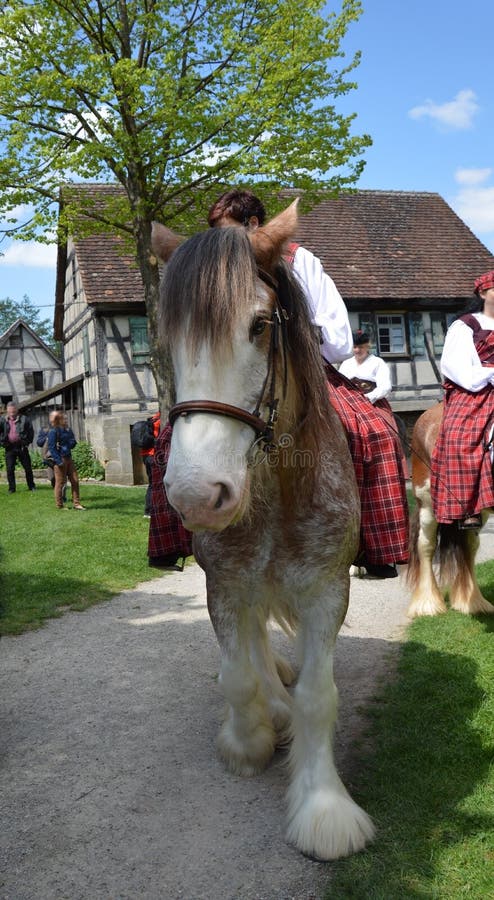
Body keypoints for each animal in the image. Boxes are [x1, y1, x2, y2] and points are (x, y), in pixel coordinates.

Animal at [151, 201, 375, 860]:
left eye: (257, 326)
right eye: (165, 338)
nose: (197, 494)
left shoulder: (327, 589)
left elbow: (318, 696)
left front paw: (324, 807)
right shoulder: (224, 584)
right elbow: (238, 675)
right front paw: (248, 739)